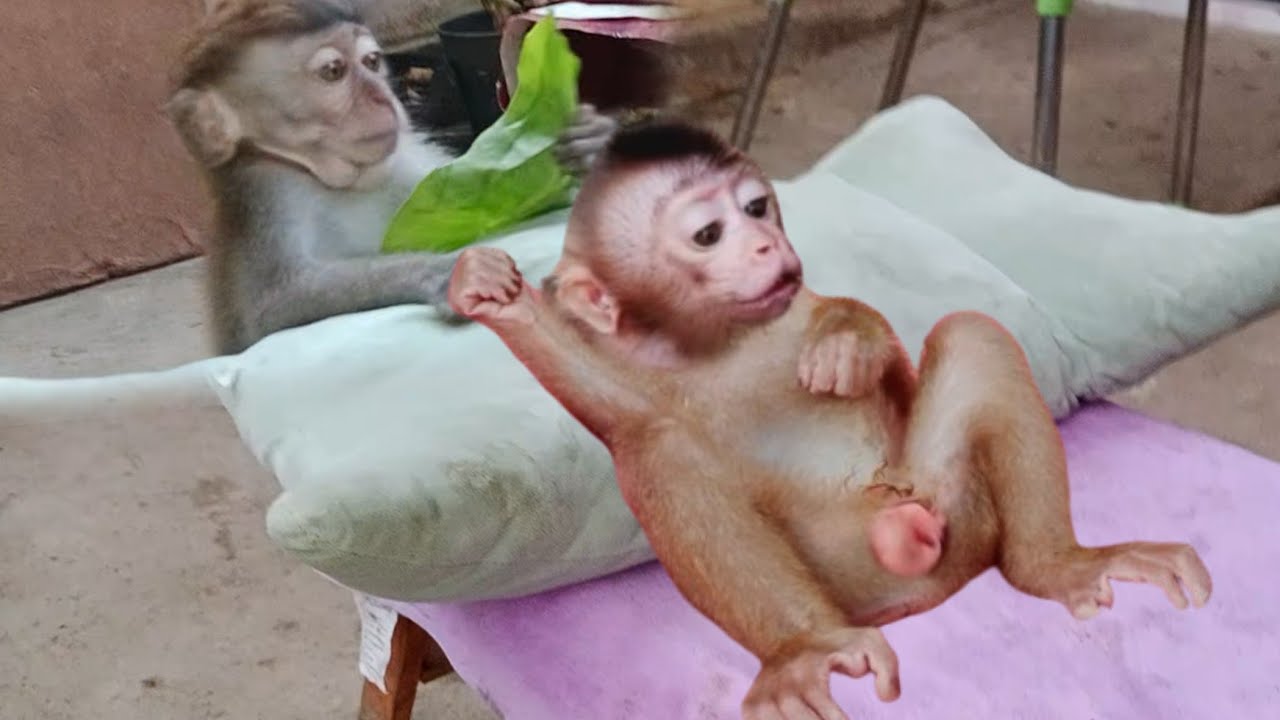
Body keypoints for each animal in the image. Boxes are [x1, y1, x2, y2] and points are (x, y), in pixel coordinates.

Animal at [166, 0, 617, 355]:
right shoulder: (268, 190)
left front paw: (592, 147)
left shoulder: (402, 162)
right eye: (333, 71)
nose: (384, 97)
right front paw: (455, 273)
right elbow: (273, 304)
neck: (324, 176)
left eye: (370, 63)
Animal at [445, 121, 1214, 720]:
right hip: (849, 581)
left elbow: (875, 350)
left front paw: (846, 344)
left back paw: (1055, 565)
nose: (763, 245)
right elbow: (619, 414)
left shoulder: (797, 306)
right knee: (662, 453)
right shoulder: (631, 368)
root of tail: (920, 586)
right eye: (708, 233)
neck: (724, 342)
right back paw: (808, 648)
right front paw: (497, 298)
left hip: (952, 505)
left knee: (972, 337)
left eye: (757, 207)